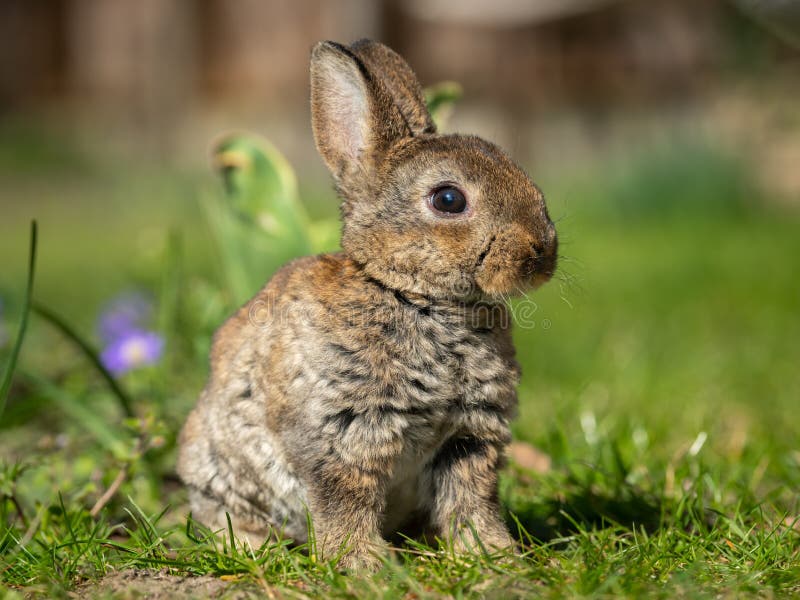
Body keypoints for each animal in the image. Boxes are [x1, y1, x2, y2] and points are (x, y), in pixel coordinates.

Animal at [177, 39, 558, 571]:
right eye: (448, 199)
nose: (542, 251)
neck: (411, 295)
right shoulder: (342, 434)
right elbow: (346, 502)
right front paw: (364, 566)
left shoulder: (469, 437)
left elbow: (470, 500)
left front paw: (494, 555)